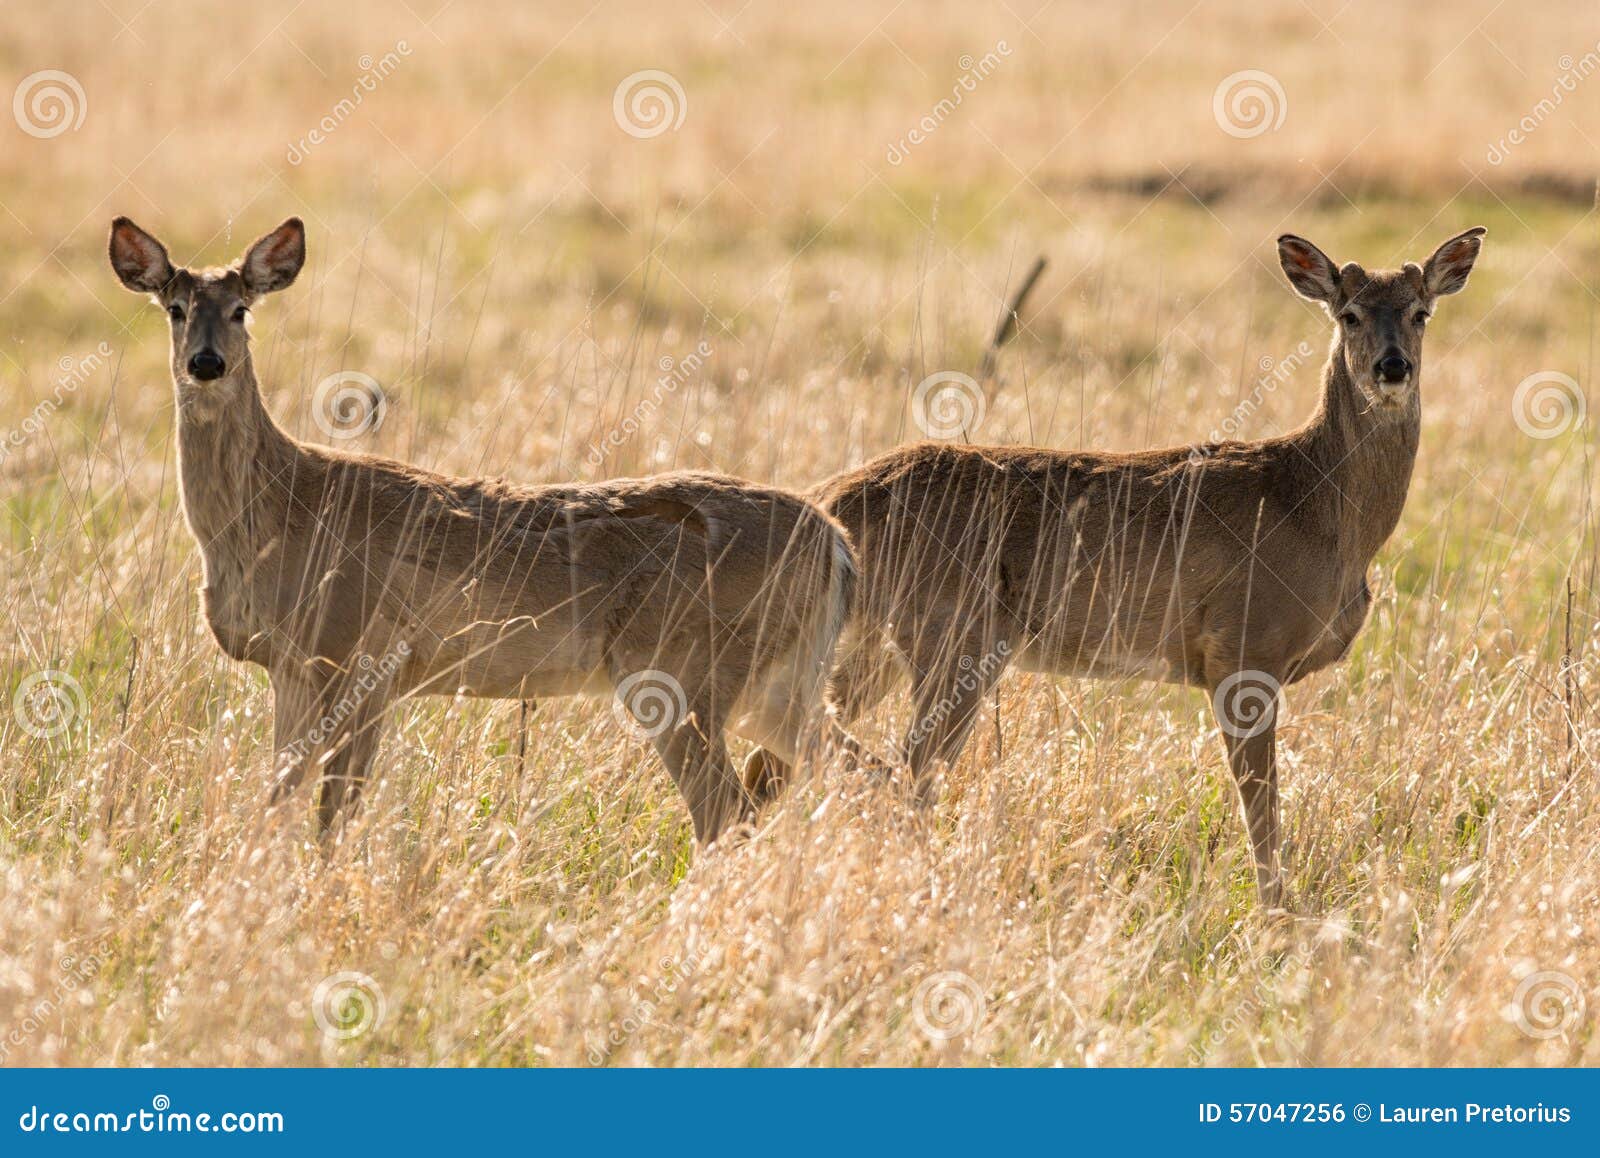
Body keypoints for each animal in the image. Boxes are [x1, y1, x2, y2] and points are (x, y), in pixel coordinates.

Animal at [109, 216, 863, 844]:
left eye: (242, 308)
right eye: (175, 308)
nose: (207, 363)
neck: (274, 512)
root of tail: (834, 540)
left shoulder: (357, 657)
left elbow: (330, 814)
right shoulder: (294, 668)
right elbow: (280, 802)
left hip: (685, 669)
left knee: (728, 809)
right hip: (782, 679)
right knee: (852, 771)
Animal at [745, 227, 1486, 908]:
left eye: (1421, 310)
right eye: (1348, 313)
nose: (1392, 368)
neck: (1318, 503)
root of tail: (832, 500)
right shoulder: (1244, 647)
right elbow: (1261, 806)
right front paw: (1277, 914)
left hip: (874, 641)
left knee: (778, 752)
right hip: (952, 635)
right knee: (904, 771)